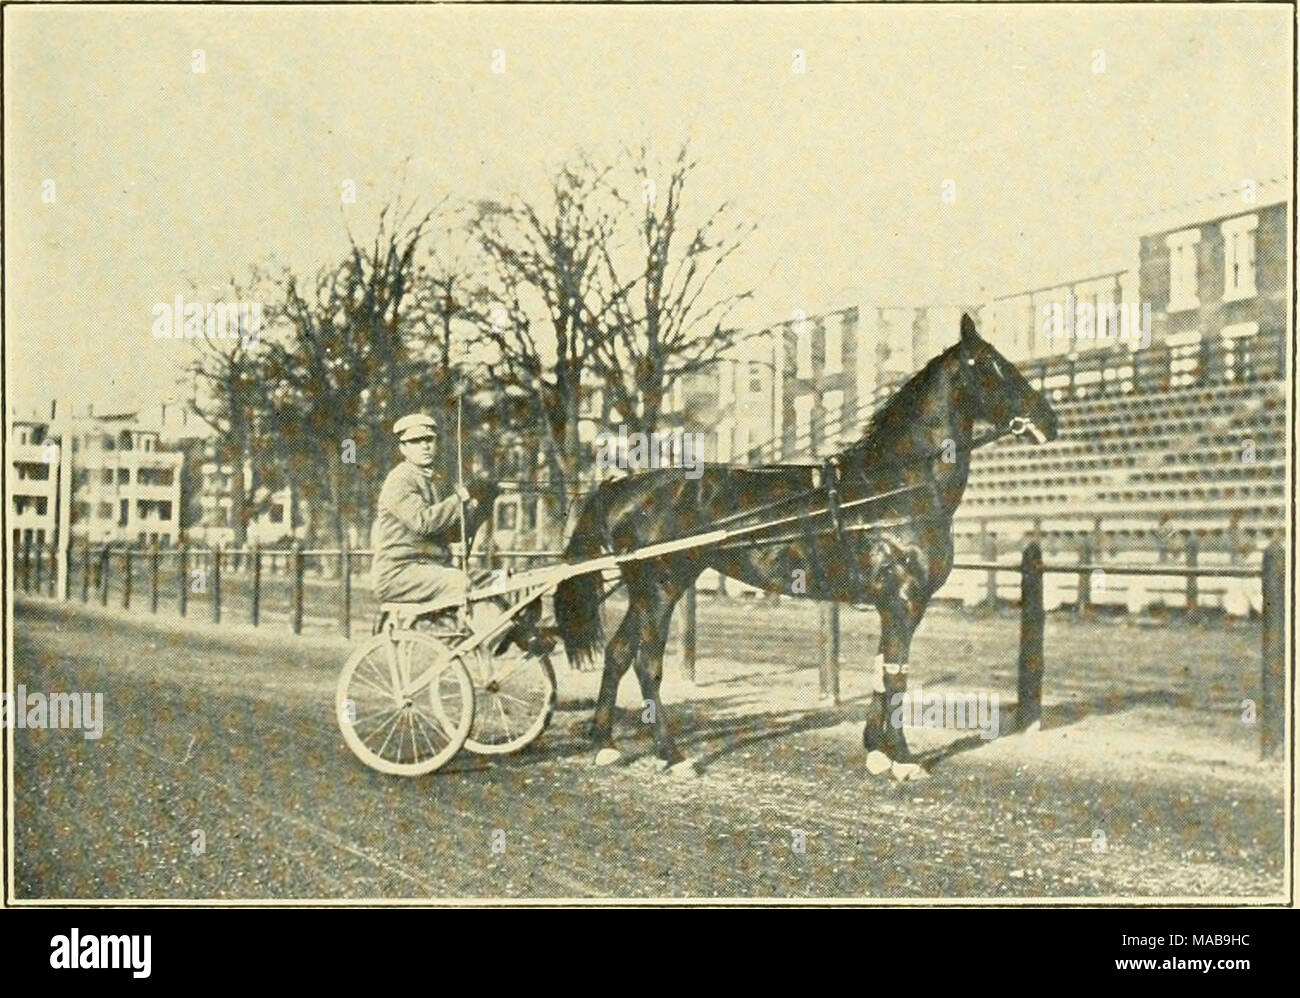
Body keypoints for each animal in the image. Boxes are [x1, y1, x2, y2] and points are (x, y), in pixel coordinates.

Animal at [553, 314, 1058, 779]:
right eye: (993, 365)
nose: (1049, 420)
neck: (894, 486)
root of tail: (621, 486)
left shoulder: (893, 604)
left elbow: (882, 667)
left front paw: (876, 750)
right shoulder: (903, 599)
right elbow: (896, 672)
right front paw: (903, 758)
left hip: (645, 590)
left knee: (619, 653)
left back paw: (605, 744)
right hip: (662, 587)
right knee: (646, 662)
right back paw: (671, 754)